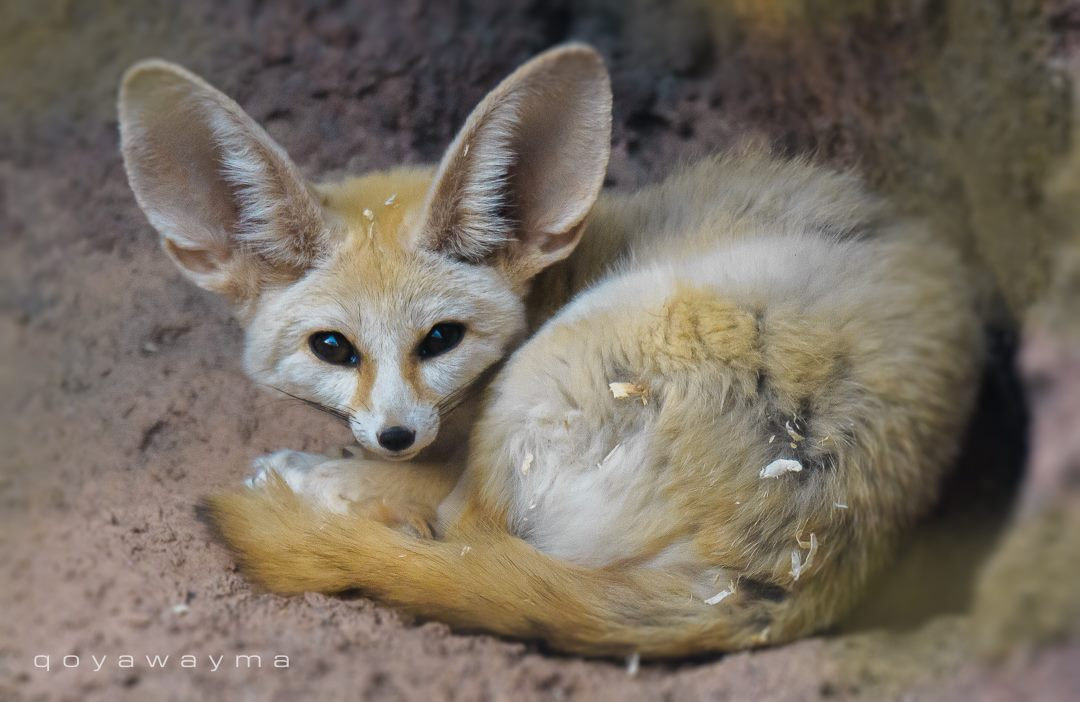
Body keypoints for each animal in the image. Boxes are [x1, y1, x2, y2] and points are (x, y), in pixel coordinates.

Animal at [118, 44, 982, 657]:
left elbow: (427, 496)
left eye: (442, 339)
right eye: (332, 347)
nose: (396, 433)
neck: (556, 270)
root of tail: (798, 569)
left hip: (562, 363)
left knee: (460, 528)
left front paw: (319, 473)